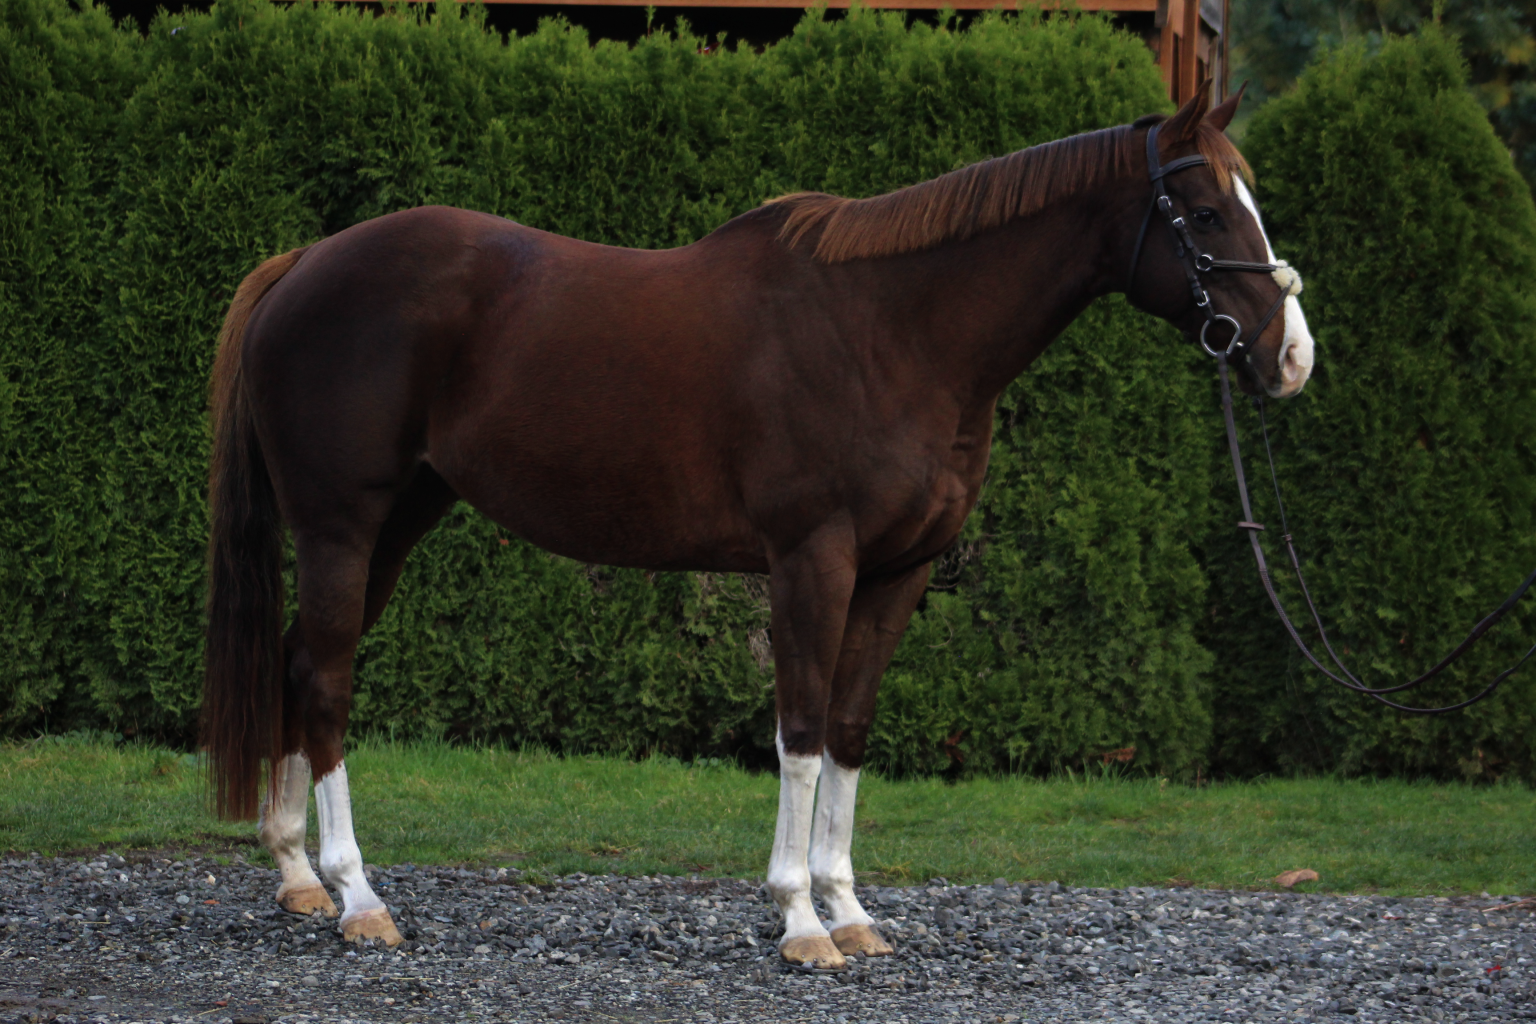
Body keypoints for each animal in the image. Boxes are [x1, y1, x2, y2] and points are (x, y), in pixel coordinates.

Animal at [202, 83, 1313, 970]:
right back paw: (360, 896)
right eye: (1203, 210)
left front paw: (850, 910)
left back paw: (298, 877)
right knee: (327, 676)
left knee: (299, 660)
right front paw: (800, 922)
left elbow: (852, 733)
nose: (1290, 355)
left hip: (399, 522)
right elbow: (802, 731)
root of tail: (304, 262)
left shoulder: (899, 572)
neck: (891, 331)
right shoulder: (810, 561)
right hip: (342, 526)